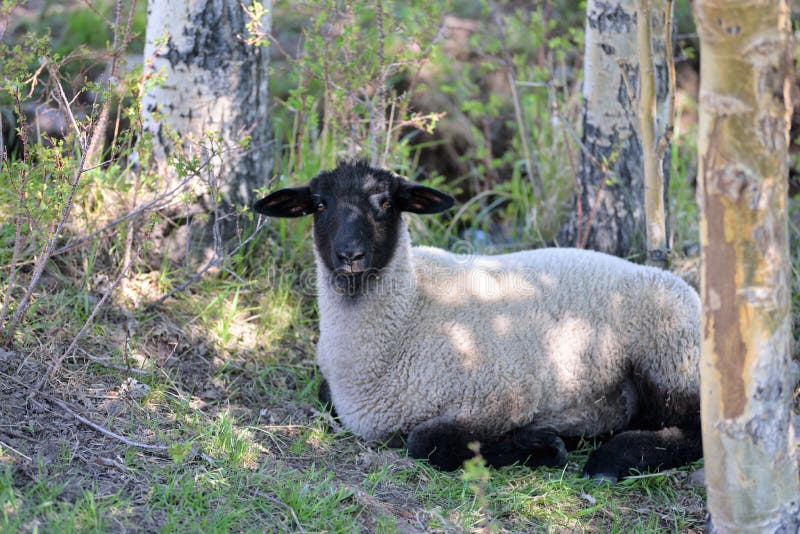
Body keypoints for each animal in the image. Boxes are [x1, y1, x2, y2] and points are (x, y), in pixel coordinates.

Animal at [253, 160, 702, 481]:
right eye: (320, 205)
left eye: (385, 204)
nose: (350, 255)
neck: (409, 318)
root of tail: (692, 294)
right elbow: (325, 396)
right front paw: (549, 441)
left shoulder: (504, 395)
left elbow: (426, 440)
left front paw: (543, 444)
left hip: (669, 356)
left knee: (697, 432)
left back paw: (611, 460)